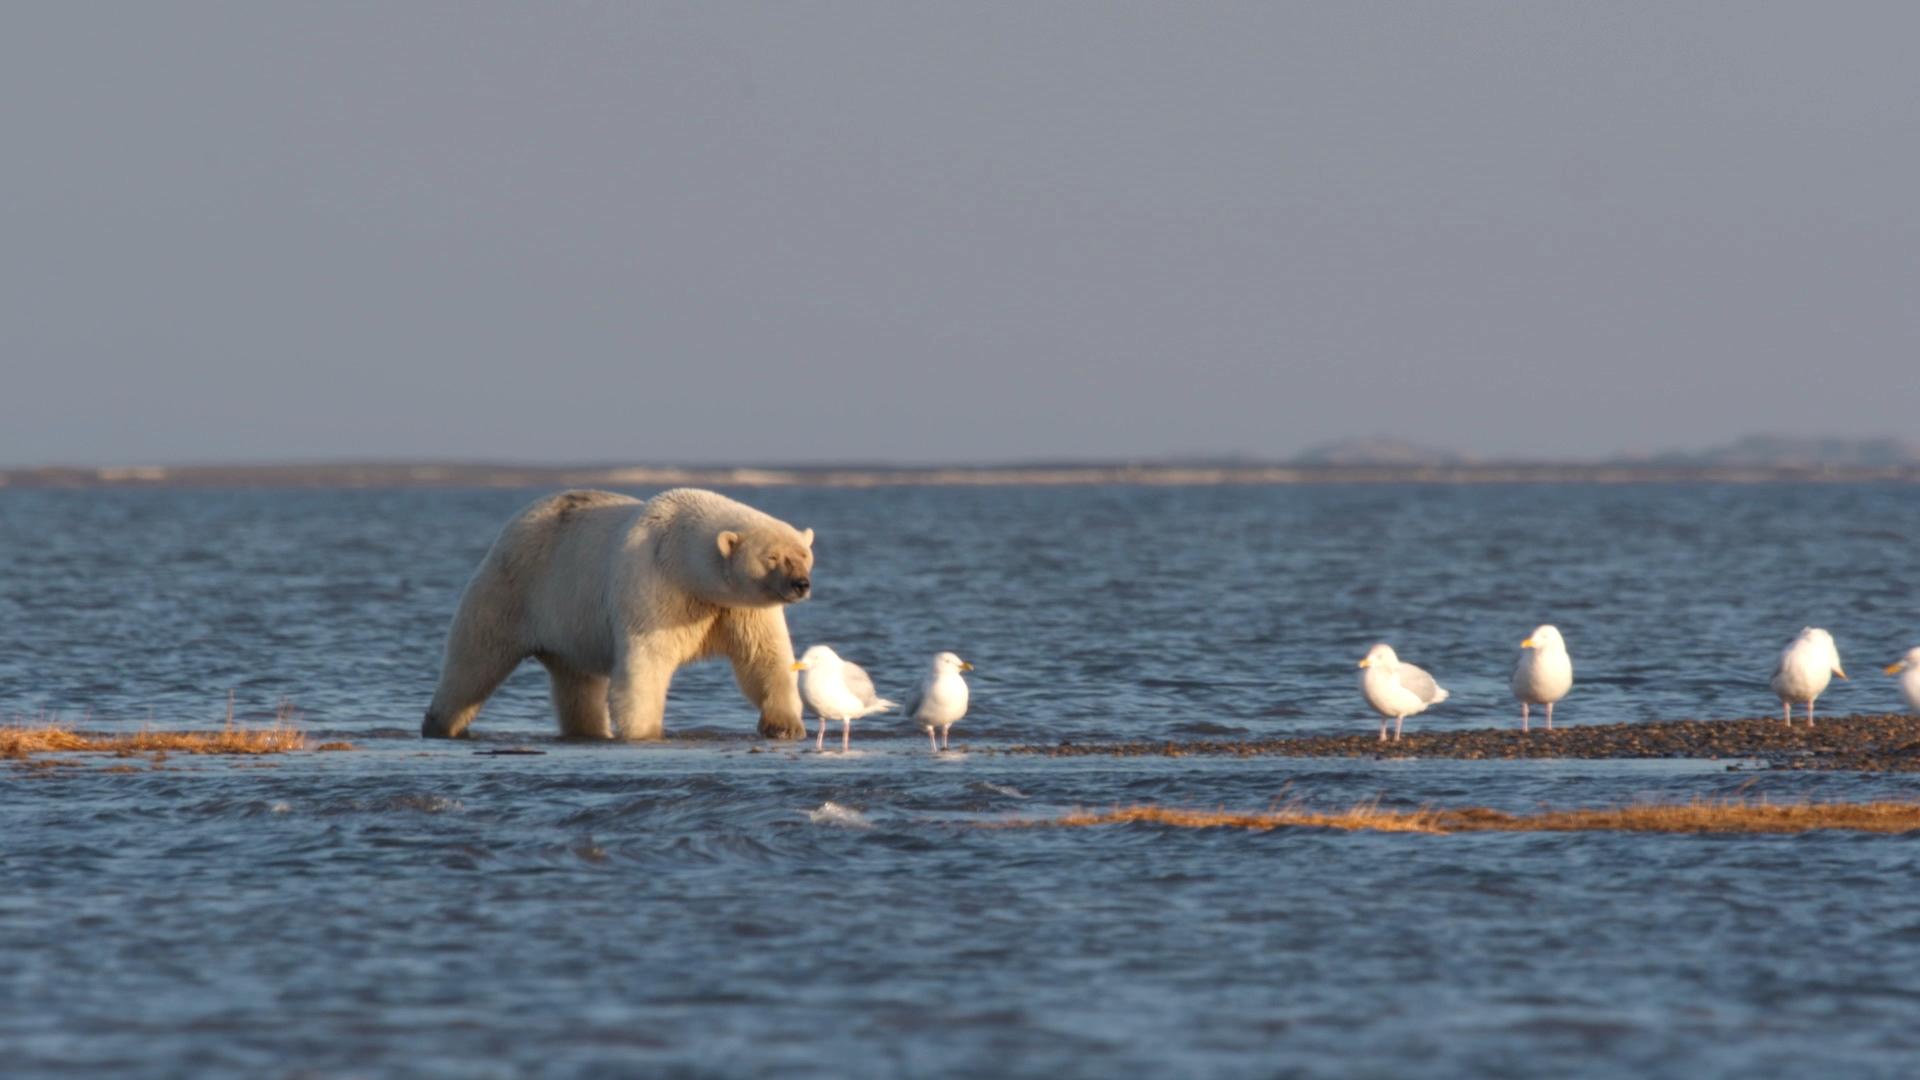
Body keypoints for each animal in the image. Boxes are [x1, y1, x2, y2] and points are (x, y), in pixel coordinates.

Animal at [422, 488, 814, 740]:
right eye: (773, 558)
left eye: (803, 554)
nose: (801, 584)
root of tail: (516, 521)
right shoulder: (657, 586)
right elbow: (646, 662)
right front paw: (644, 732)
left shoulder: (738, 609)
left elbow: (764, 658)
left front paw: (785, 726)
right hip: (515, 587)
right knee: (474, 659)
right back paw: (439, 723)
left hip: (570, 623)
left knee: (577, 683)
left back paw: (589, 731)